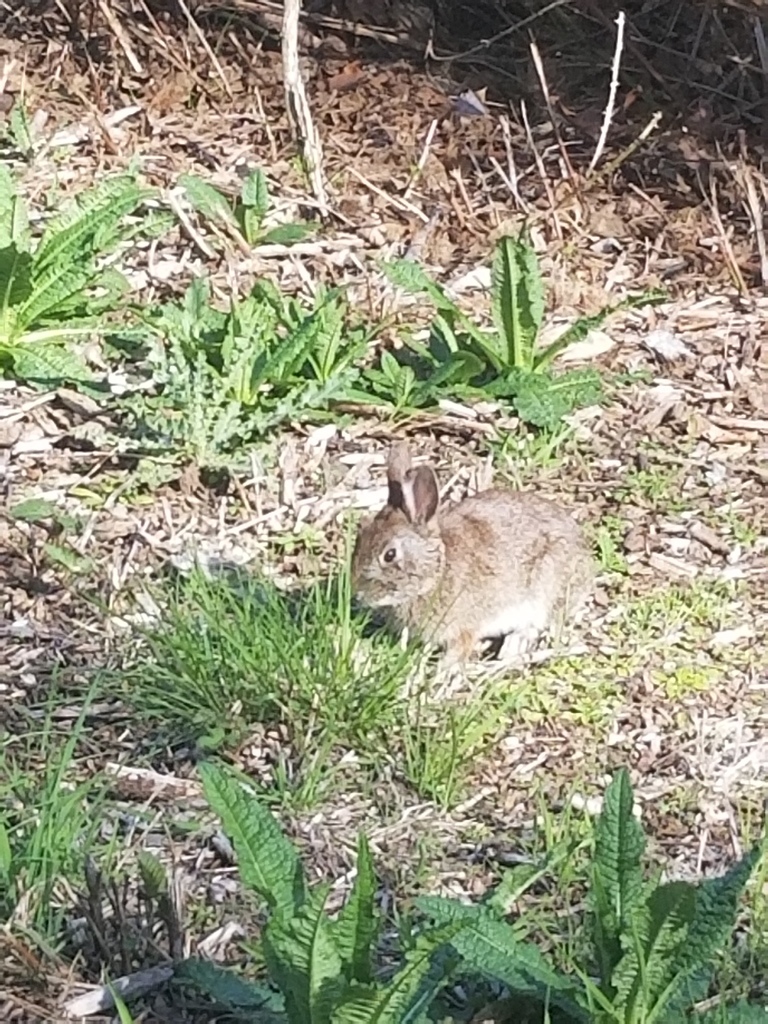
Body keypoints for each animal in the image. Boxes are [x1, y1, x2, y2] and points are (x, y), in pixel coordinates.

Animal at [351, 442, 593, 665]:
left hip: (546, 587)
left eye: (390, 555)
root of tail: (585, 557)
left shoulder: (464, 629)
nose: (357, 595)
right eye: (360, 535)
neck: (436, 574)